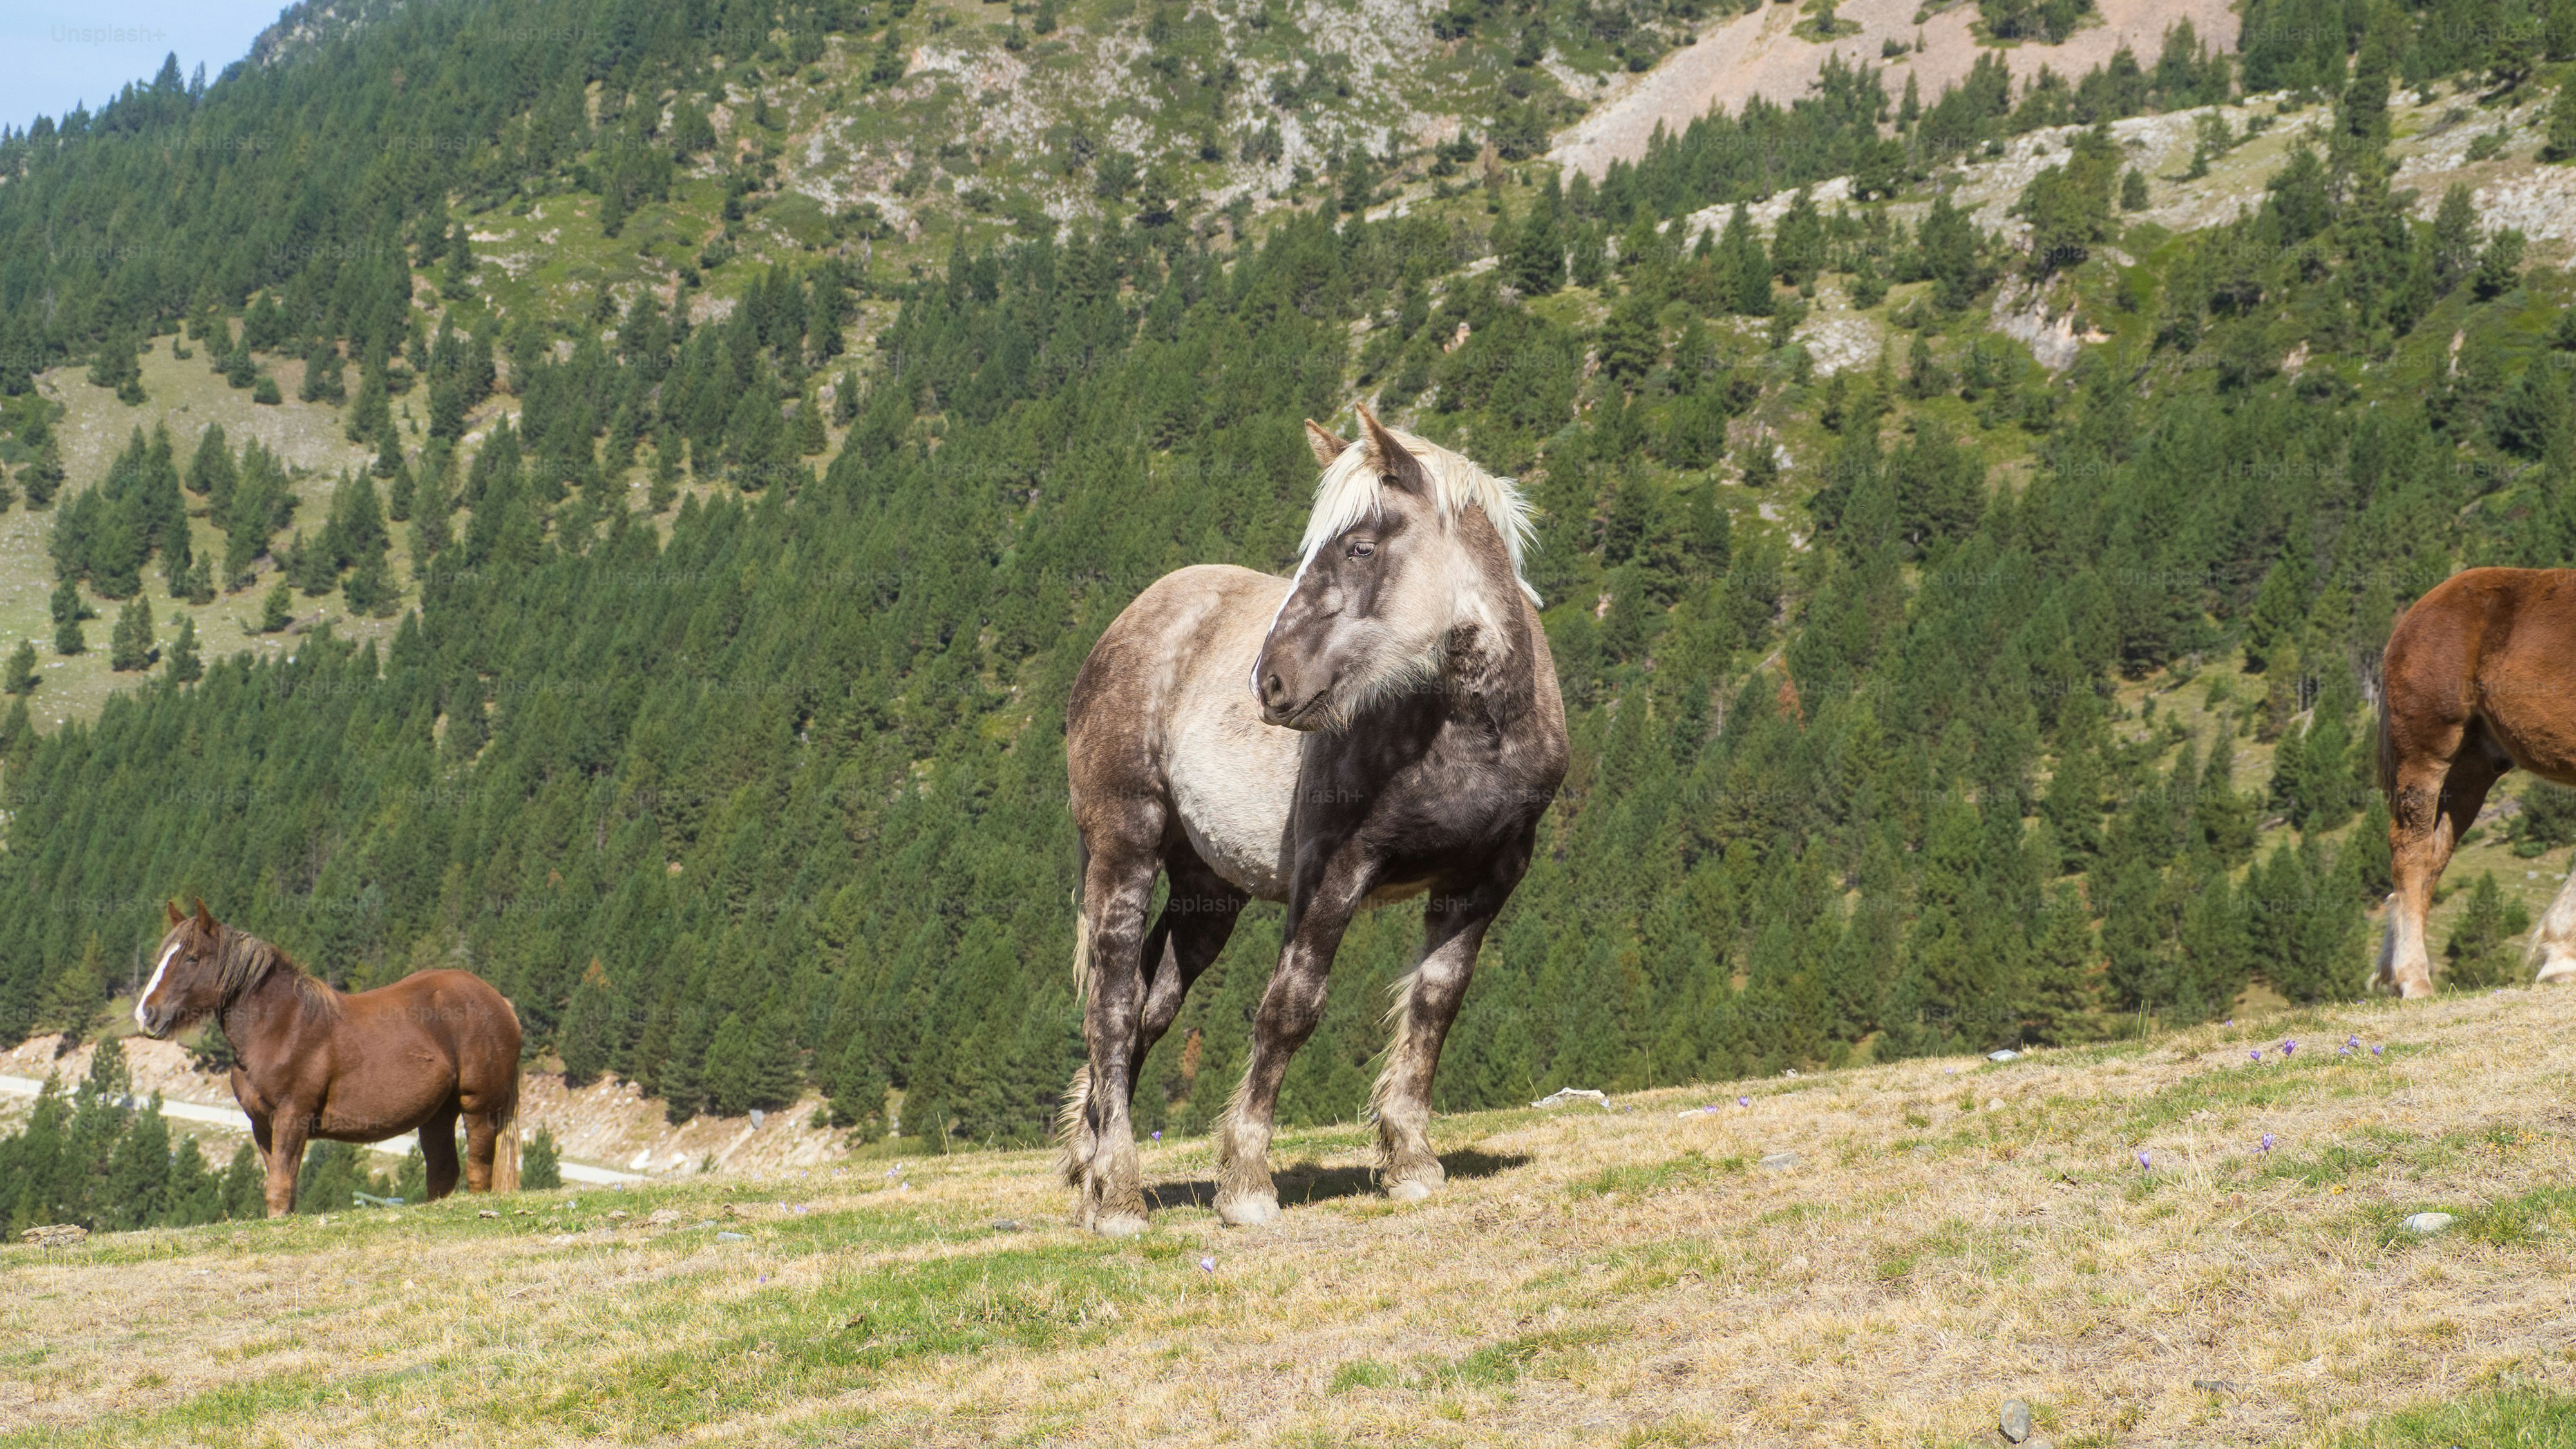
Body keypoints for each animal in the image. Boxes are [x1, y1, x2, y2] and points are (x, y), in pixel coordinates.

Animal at [131, 901, 524, 1214]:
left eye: (192, 958)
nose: (145, 1014)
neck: (280, 1027)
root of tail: (500, 1002)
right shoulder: (262, 1124)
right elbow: (282, 1187)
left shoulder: (293, 1116)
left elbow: (280, 1188)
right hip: (438, 1115)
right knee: (444, 1173)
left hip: (478, 1107)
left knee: (478, 1172)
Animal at [1056, 403, 1568, 1235]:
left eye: (1360, 547)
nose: (1269, 683)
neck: (1467, 738)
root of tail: (1128, 624)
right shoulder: (1335, 872)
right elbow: (1289, 1011)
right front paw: (1245, 1183)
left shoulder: (1486, 878)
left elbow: (1434, 1004)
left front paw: (1410, 1161)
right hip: (1123, 849)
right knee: (1110, 1005)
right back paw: (1119, 1194)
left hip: (1208, 893)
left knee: (1150, 1006)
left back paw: (1089, 1166)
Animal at [2376, 567, 2576, 995]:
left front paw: (2560, 958)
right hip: (2426, 754)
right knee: (2410, 849)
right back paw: (2413, 978)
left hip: (2472, 771)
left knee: (2435, 853)